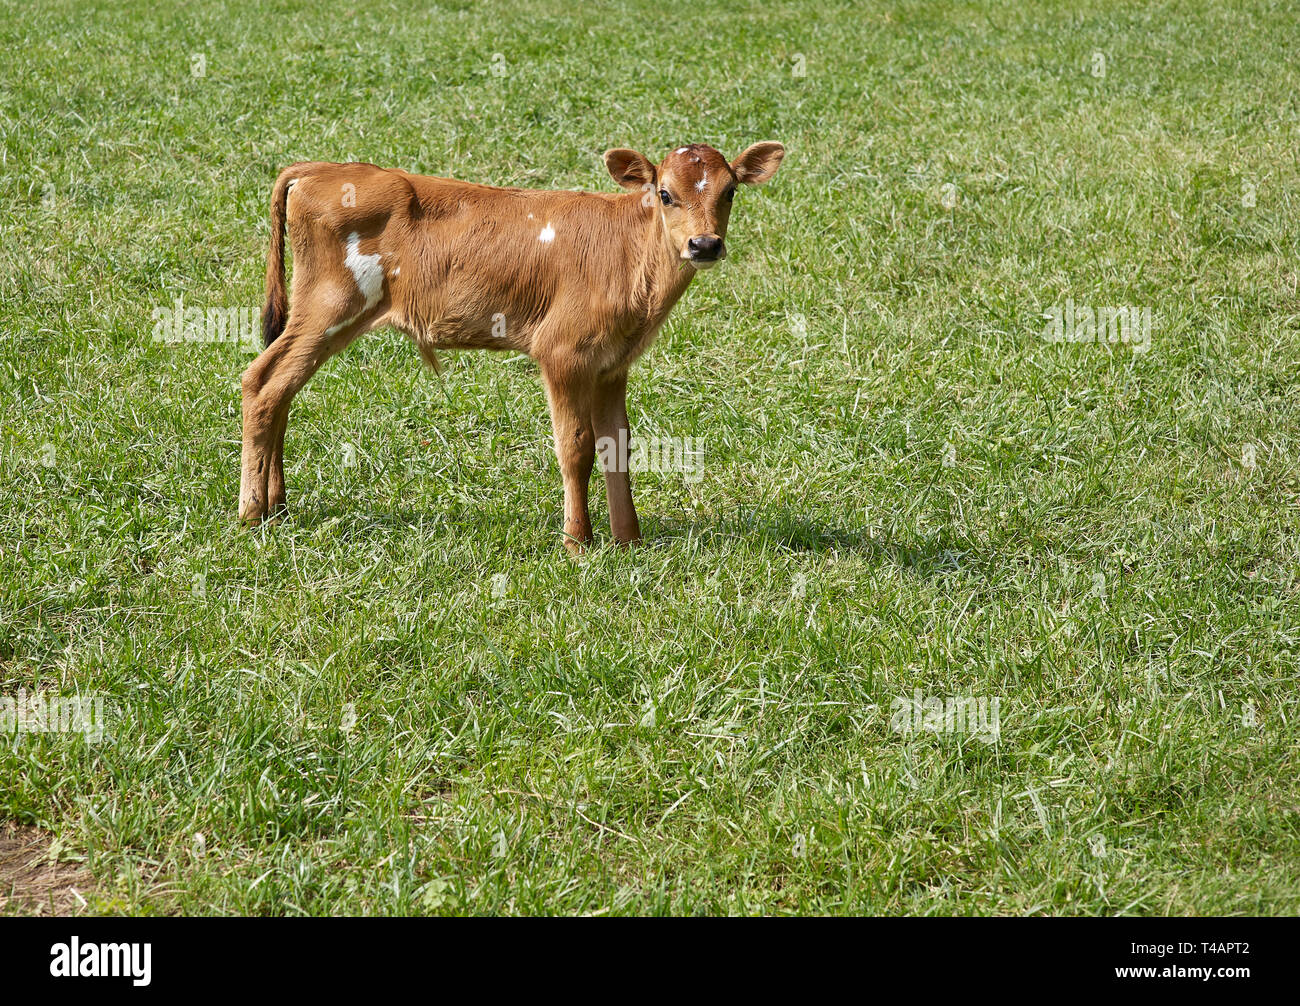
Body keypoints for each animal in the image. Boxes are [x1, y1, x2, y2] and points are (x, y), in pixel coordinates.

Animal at [239, 141, 785, 551]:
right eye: (666, 194)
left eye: (730, 191)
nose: (704, 245)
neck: (632, 262)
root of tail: (320, 168)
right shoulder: (563, 352)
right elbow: (576, 446)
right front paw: (578, 542)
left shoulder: (612, 363)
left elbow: (617, 445)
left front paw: (628, 540)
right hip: (329, 303)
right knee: (262, 383)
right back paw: (251, 513)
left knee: (283, 389)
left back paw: (278, 505)